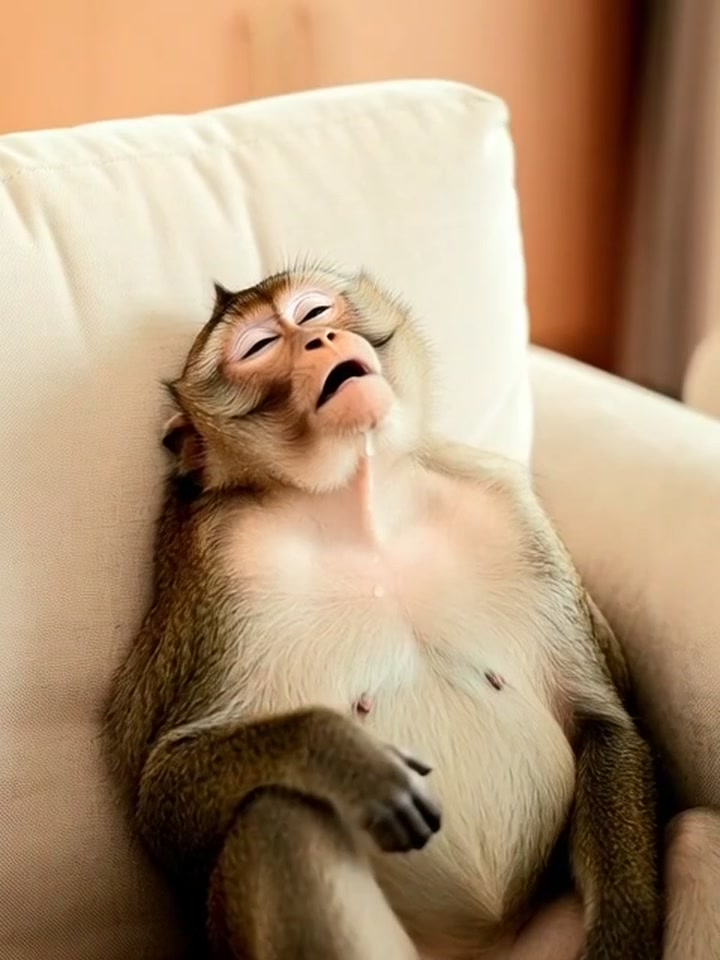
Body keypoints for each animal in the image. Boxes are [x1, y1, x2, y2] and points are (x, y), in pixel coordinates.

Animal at [101, 260, 666, 960]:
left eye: (313, 312)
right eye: (259, 347)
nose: (320, 341)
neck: (366, 510)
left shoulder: (509, 508)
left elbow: (603, 723)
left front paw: (624, 938)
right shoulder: (218, 569)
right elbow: (163, 795)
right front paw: (342, 756)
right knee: (278, 816)